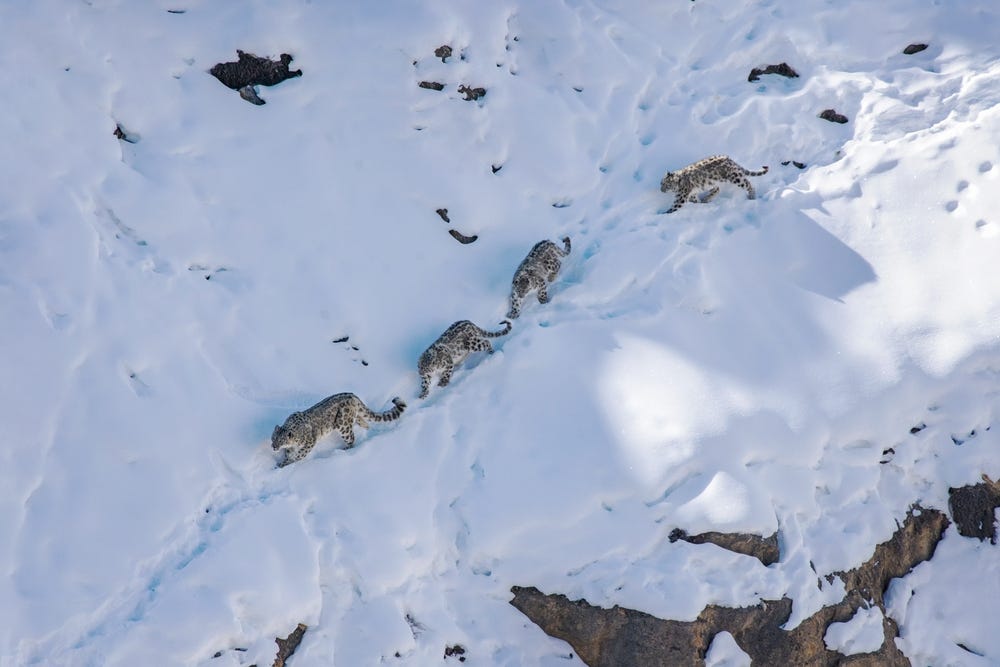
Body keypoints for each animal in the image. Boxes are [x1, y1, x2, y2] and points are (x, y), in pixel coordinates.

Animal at [272, 393, 406, 466]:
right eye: (273, 439)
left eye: (280, 440)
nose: (273, 447)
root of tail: (353, 396)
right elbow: (289, 454)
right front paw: (284, 460)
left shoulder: (309, 442)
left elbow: (300, 454)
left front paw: (287, 463)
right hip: (353, 418)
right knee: (363, 420)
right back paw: (366, 428)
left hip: (343, 425)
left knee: (351, 438)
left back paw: (346, 449)